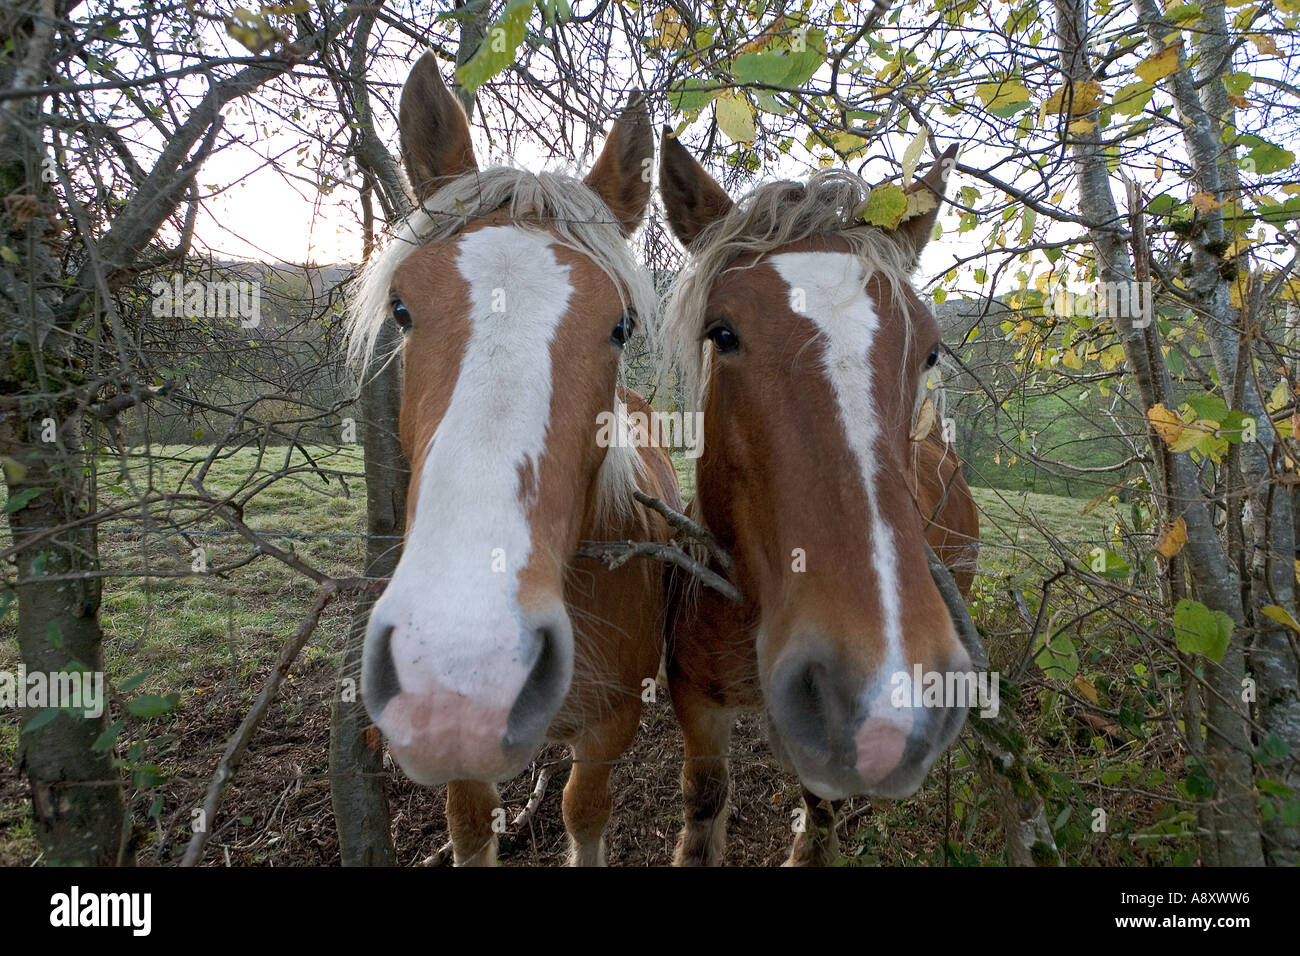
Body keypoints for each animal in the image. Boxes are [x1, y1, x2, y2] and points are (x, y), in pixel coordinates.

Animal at [345, 53, 678, 866]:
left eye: (622, 325)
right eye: (401, 308)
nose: (461, 675)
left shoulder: (609, 729)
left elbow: (584, 811)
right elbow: (470, 823)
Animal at [657, 131, 981, 866]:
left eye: (929, 351)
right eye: (722, 332)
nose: (886, 687)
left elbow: (822, 807)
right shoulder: (696, 704)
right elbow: (703, 802)